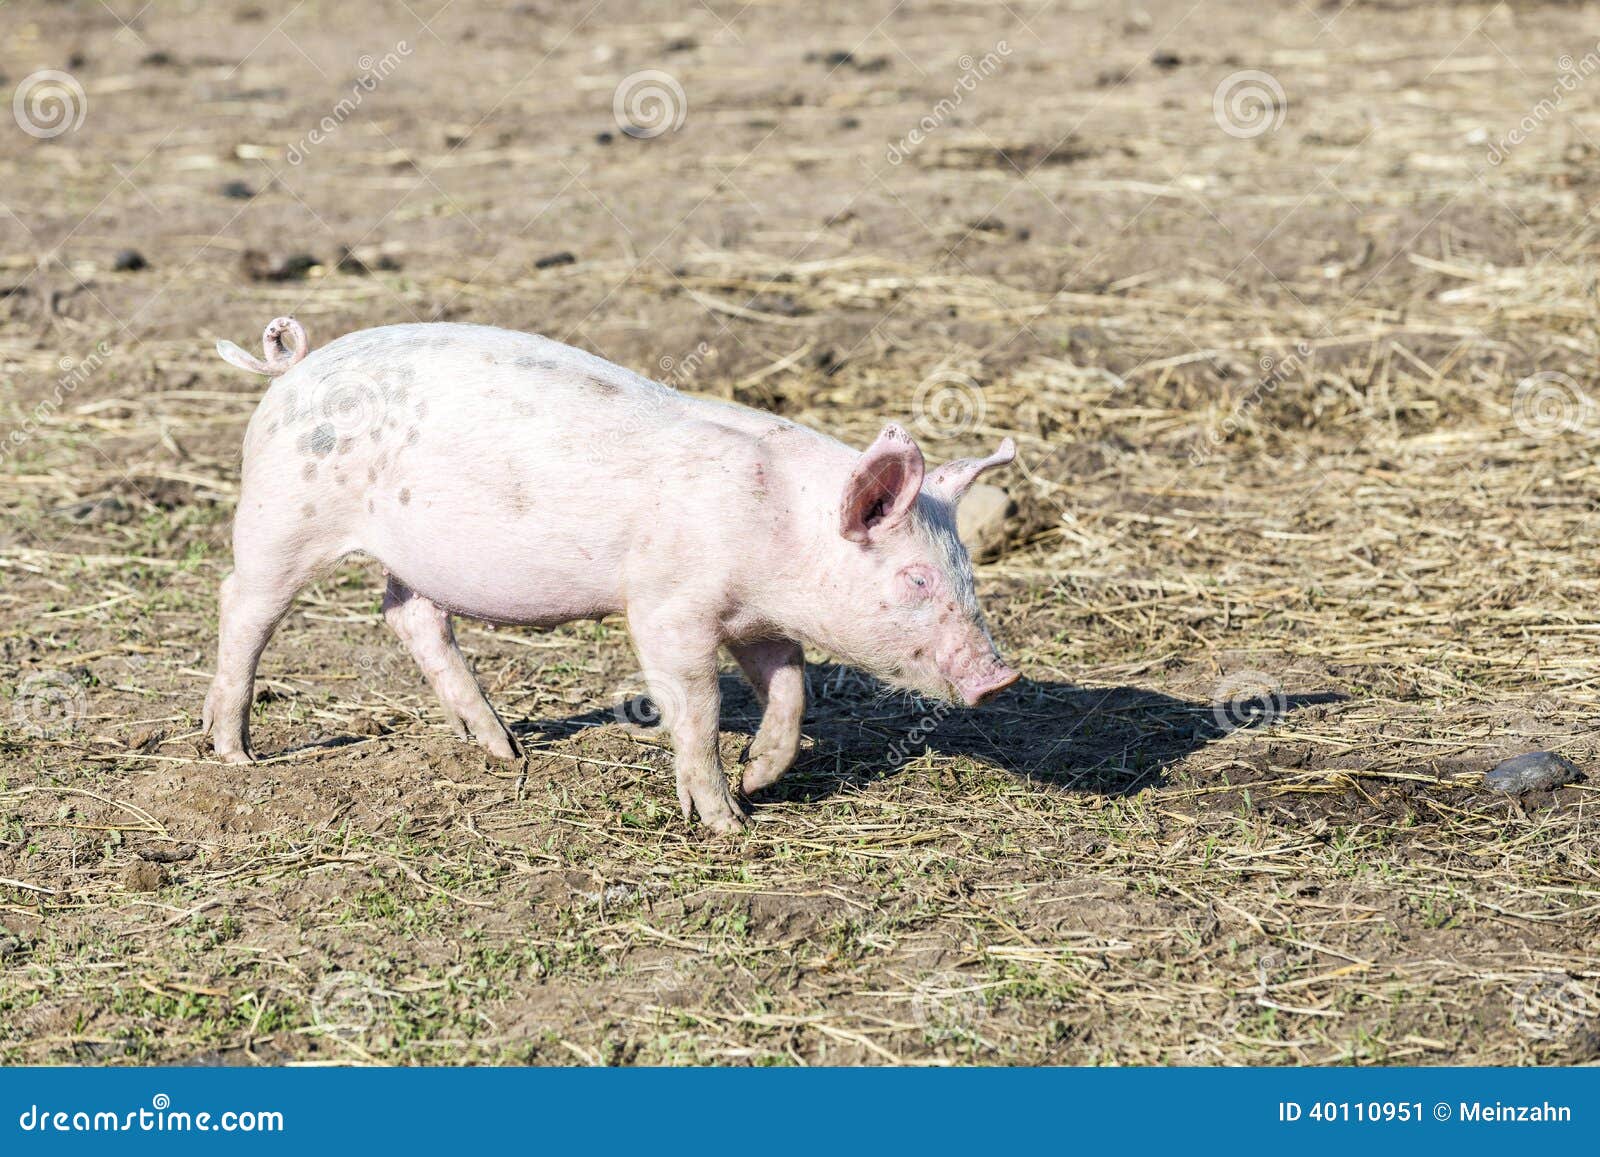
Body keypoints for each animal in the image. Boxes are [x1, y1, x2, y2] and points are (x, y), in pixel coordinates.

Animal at [203, 318, 1020, 834]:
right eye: (916, 580)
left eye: (965, 569)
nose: (1000, 677)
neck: (782, 533)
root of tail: (295, 366)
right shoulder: (669, 607)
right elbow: (695, 704)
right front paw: (727, 822)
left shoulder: (759, 621)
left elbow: (791, 691)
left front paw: (758, 779)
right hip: (283, 515)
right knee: (243, 604)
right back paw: (236, 753)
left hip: (410, 556)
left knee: (410, 615)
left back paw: (502, 748)